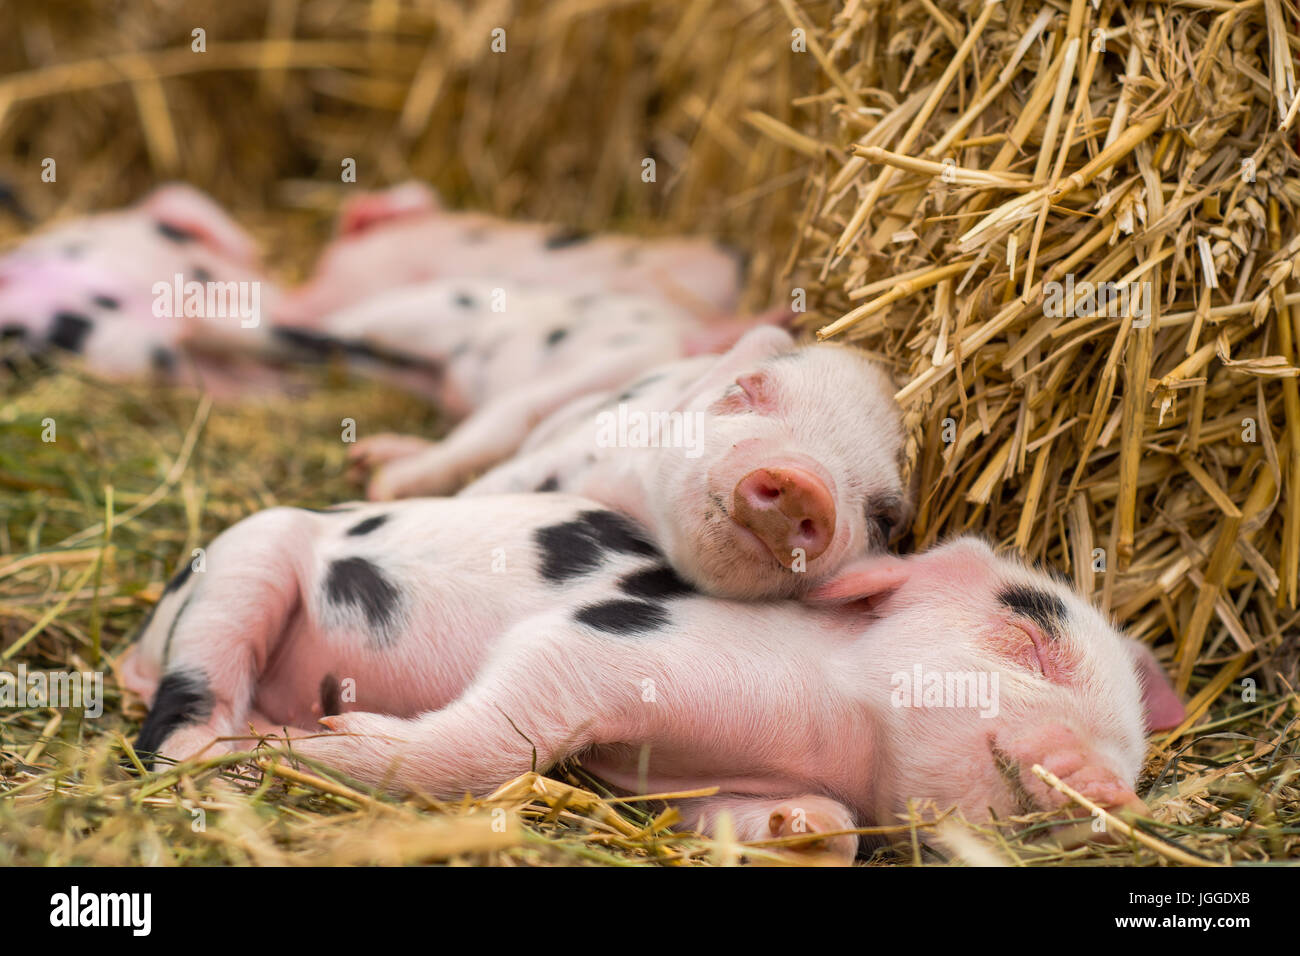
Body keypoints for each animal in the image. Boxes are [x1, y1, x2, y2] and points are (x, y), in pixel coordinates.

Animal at [122, 495, 1185, 863]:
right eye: (1030, 638)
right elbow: (496, 742)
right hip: (246, 565)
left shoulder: (695, 785)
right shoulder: (600, 641)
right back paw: (237, 753)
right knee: (173, 718)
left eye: (1137, 752)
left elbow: (812, 830)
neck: (830, 729)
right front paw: (334, 741)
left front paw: (801, 831)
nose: (1113, 787)